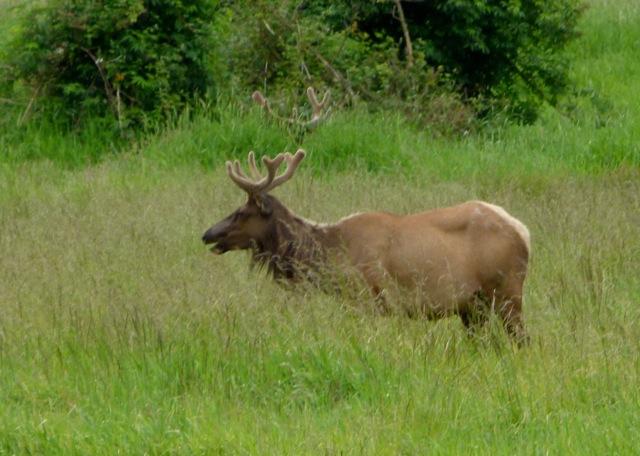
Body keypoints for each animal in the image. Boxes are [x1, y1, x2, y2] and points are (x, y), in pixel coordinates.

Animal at [202, 150, 531, 345]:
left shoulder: (369, 296)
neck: (332, 255)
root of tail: (523, 232)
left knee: (522, 339)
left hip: (507, 290)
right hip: (473, 306)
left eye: (240, 213)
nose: (207, 234)